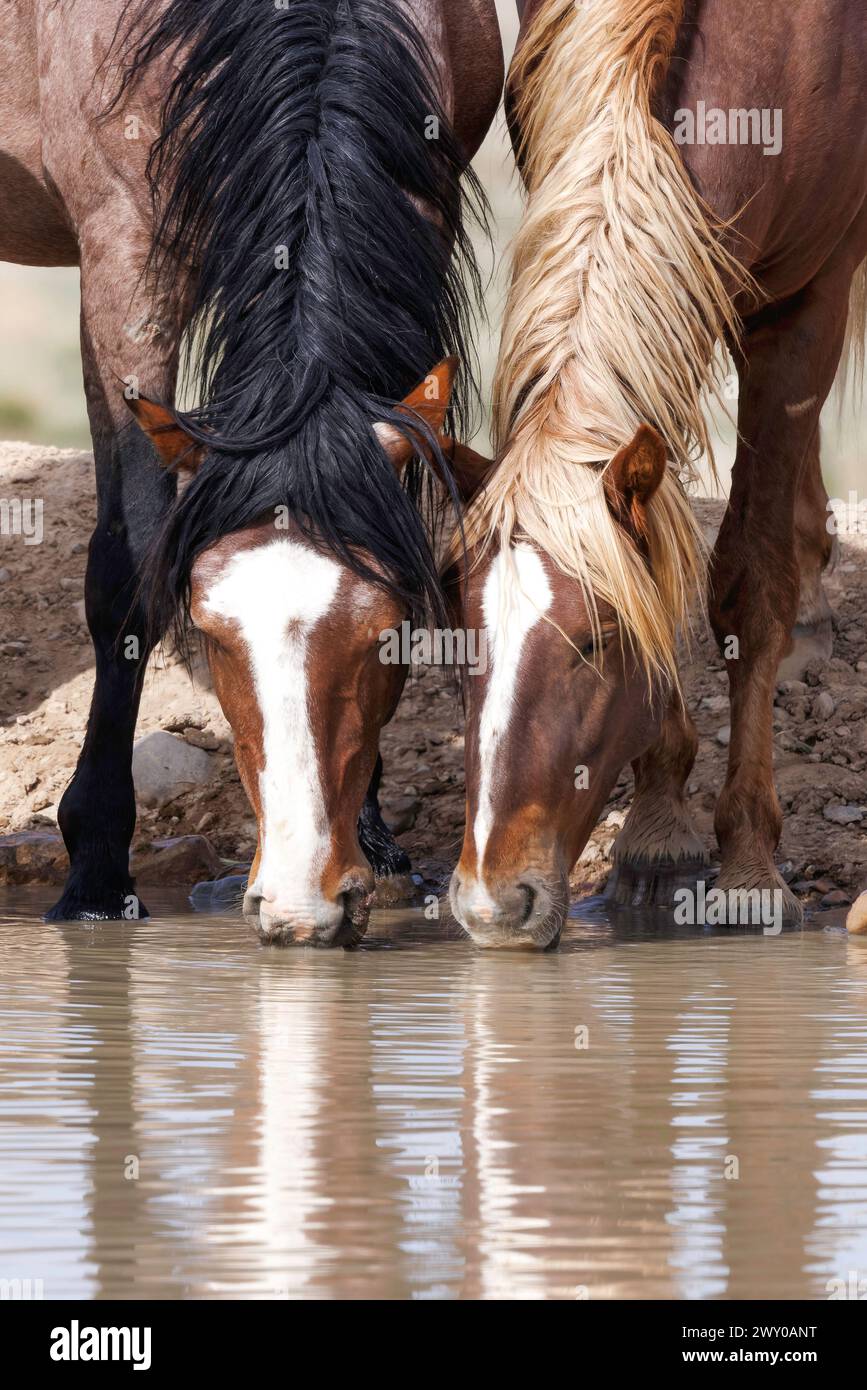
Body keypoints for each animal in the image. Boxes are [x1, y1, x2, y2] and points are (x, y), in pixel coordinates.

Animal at [0, 0, 503, 943]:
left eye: (387, 628)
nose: (305, 902)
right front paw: (96, 866)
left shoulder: (426, 201)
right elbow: (127, 564)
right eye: (211, 630)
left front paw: (374, 837)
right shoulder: (125, 251)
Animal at [449, 0, 867, 948]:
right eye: (463, 635)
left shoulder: (806, 304)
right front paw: (657, 834)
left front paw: (747, 865)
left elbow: (749, 581)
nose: (492, 902)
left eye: (596, 641)